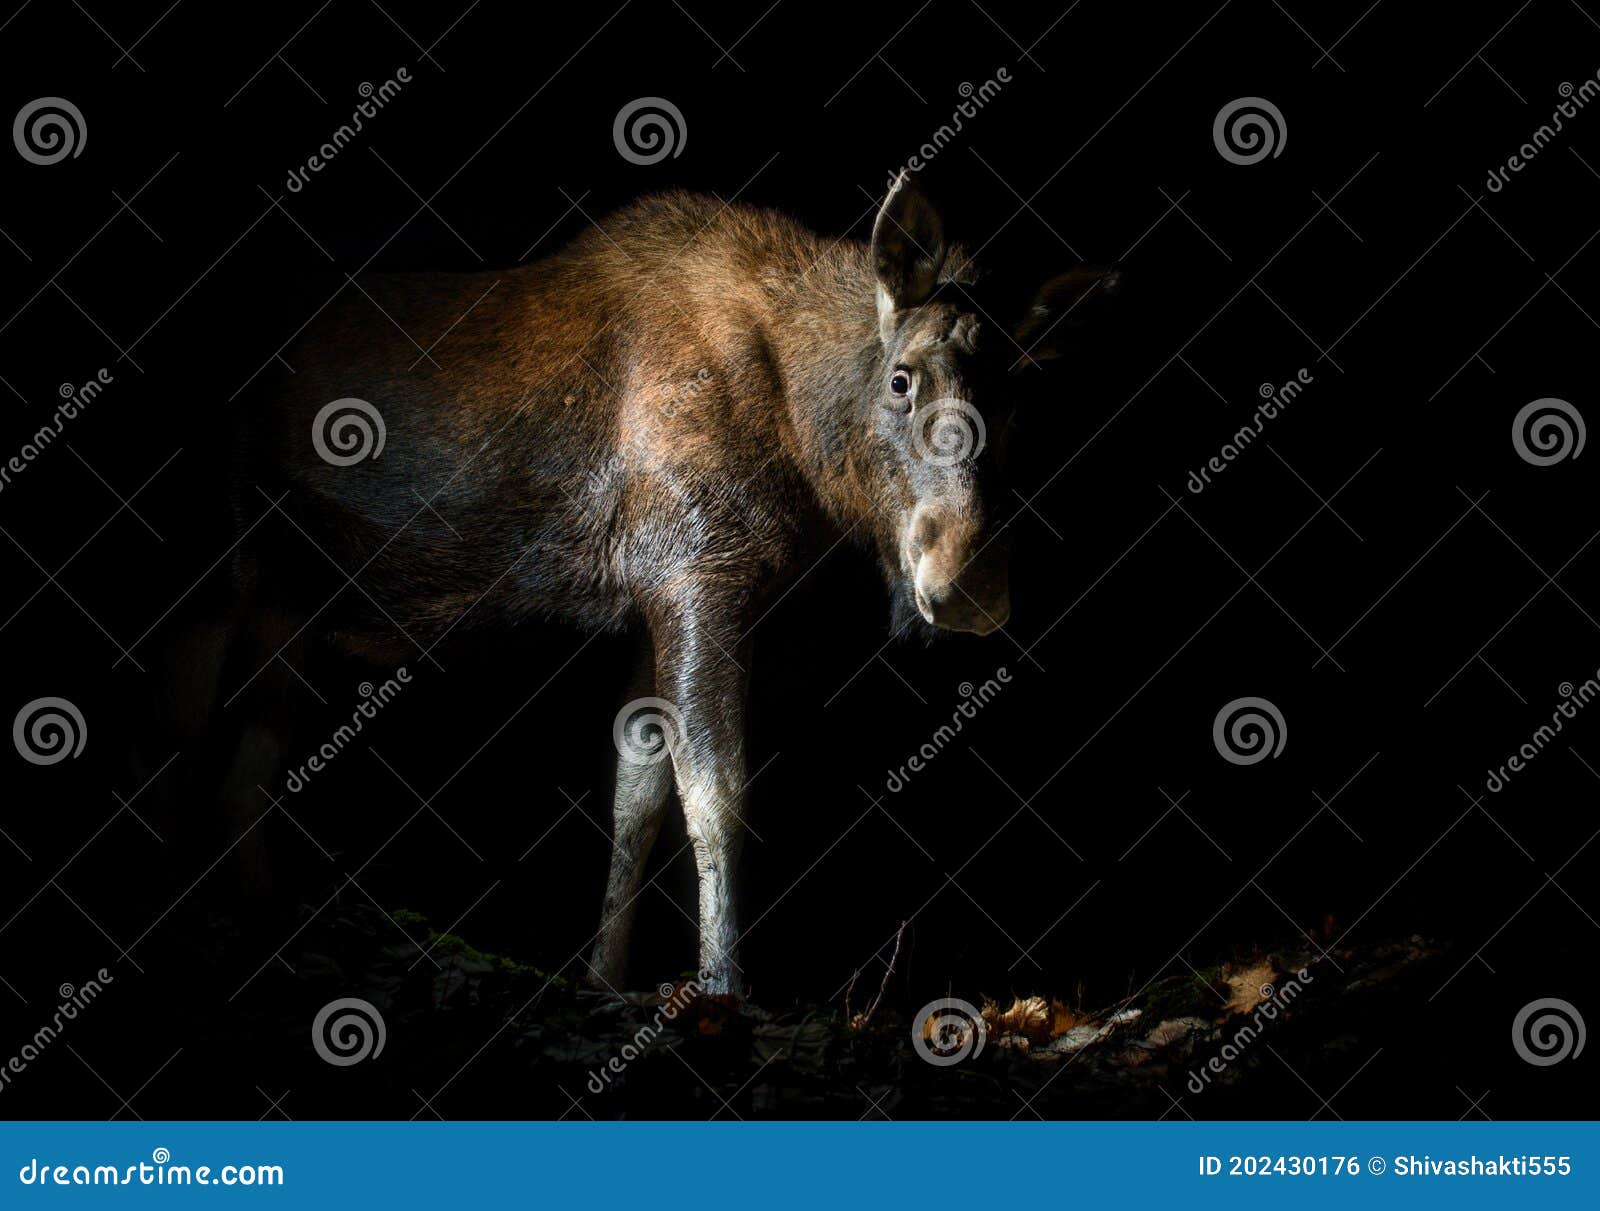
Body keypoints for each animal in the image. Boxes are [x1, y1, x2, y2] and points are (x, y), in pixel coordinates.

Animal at [207, 172, 1119, 995]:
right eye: (902, 377)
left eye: (1019, 402)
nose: (970, 579)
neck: (802, 435)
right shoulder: (697, 574)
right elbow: (716, 793)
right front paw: (721, 984)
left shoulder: (651, 603)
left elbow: (636, 798)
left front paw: (604, 977)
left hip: (276, 605)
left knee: (248, 753)